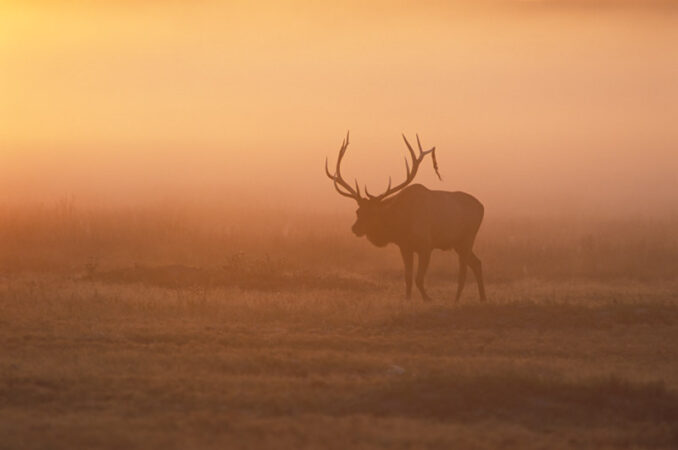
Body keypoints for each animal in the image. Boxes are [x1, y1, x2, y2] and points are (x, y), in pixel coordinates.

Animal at [325, 132, 486, 302]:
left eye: (374, 213)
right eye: (358, 211)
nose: (355, 228)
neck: (401, 224)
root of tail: (482, 206)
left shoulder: (426, 246)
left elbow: (418, 278)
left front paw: (428, 299)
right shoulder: (404, 247)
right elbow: (408, 277)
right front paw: (408, 299)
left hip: (468, 238)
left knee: (464, 270)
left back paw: (457, 300)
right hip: (457, 244)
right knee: (477, 263)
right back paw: (482, 297)